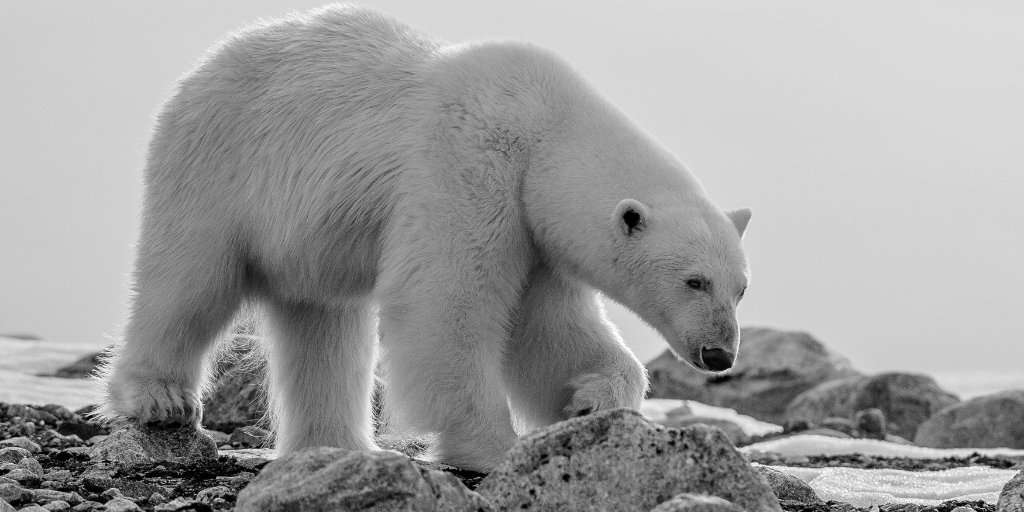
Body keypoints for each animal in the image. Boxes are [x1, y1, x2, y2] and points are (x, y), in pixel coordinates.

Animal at [99, 4, 752, 472]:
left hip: (309, 240)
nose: (719, 355)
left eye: (740, 288)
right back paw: (160, 400)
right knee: (189, 282)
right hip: (218, 165)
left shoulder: (536, 234)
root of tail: (201, 68)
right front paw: (496, 447)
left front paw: (588, 398)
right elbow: (447, 307)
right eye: (694, 281)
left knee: (324, 325)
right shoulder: (468, 171)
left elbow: (548, 330)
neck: (545, 131)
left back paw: (340, 447)